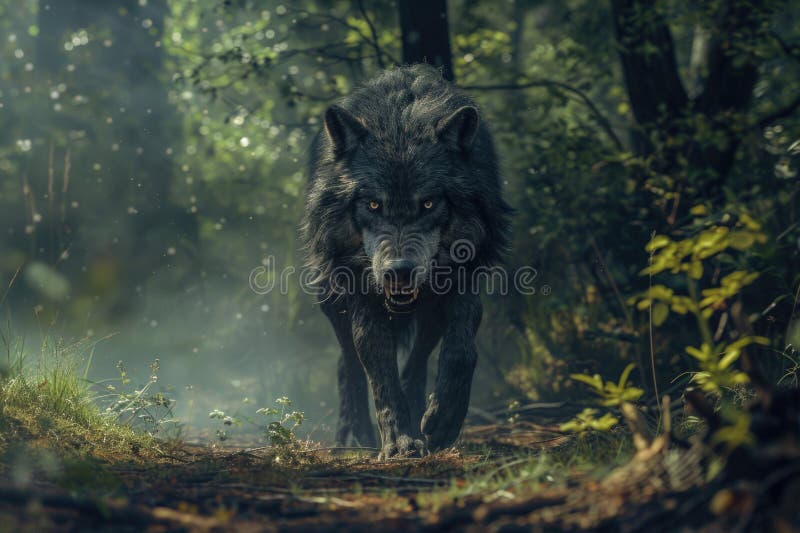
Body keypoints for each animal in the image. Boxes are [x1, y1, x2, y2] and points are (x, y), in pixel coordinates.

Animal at [302, 64, 511, 458]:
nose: (398, 272)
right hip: (332, 301)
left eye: (428, 203)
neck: (401, 120)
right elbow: (379, 373)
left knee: (416, 359)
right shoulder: (362, 296)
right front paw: (399, 439)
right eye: (372, 204)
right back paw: (355, 433)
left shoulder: (462, 281)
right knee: (348, 366)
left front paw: (443, 420)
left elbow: (460, 351)